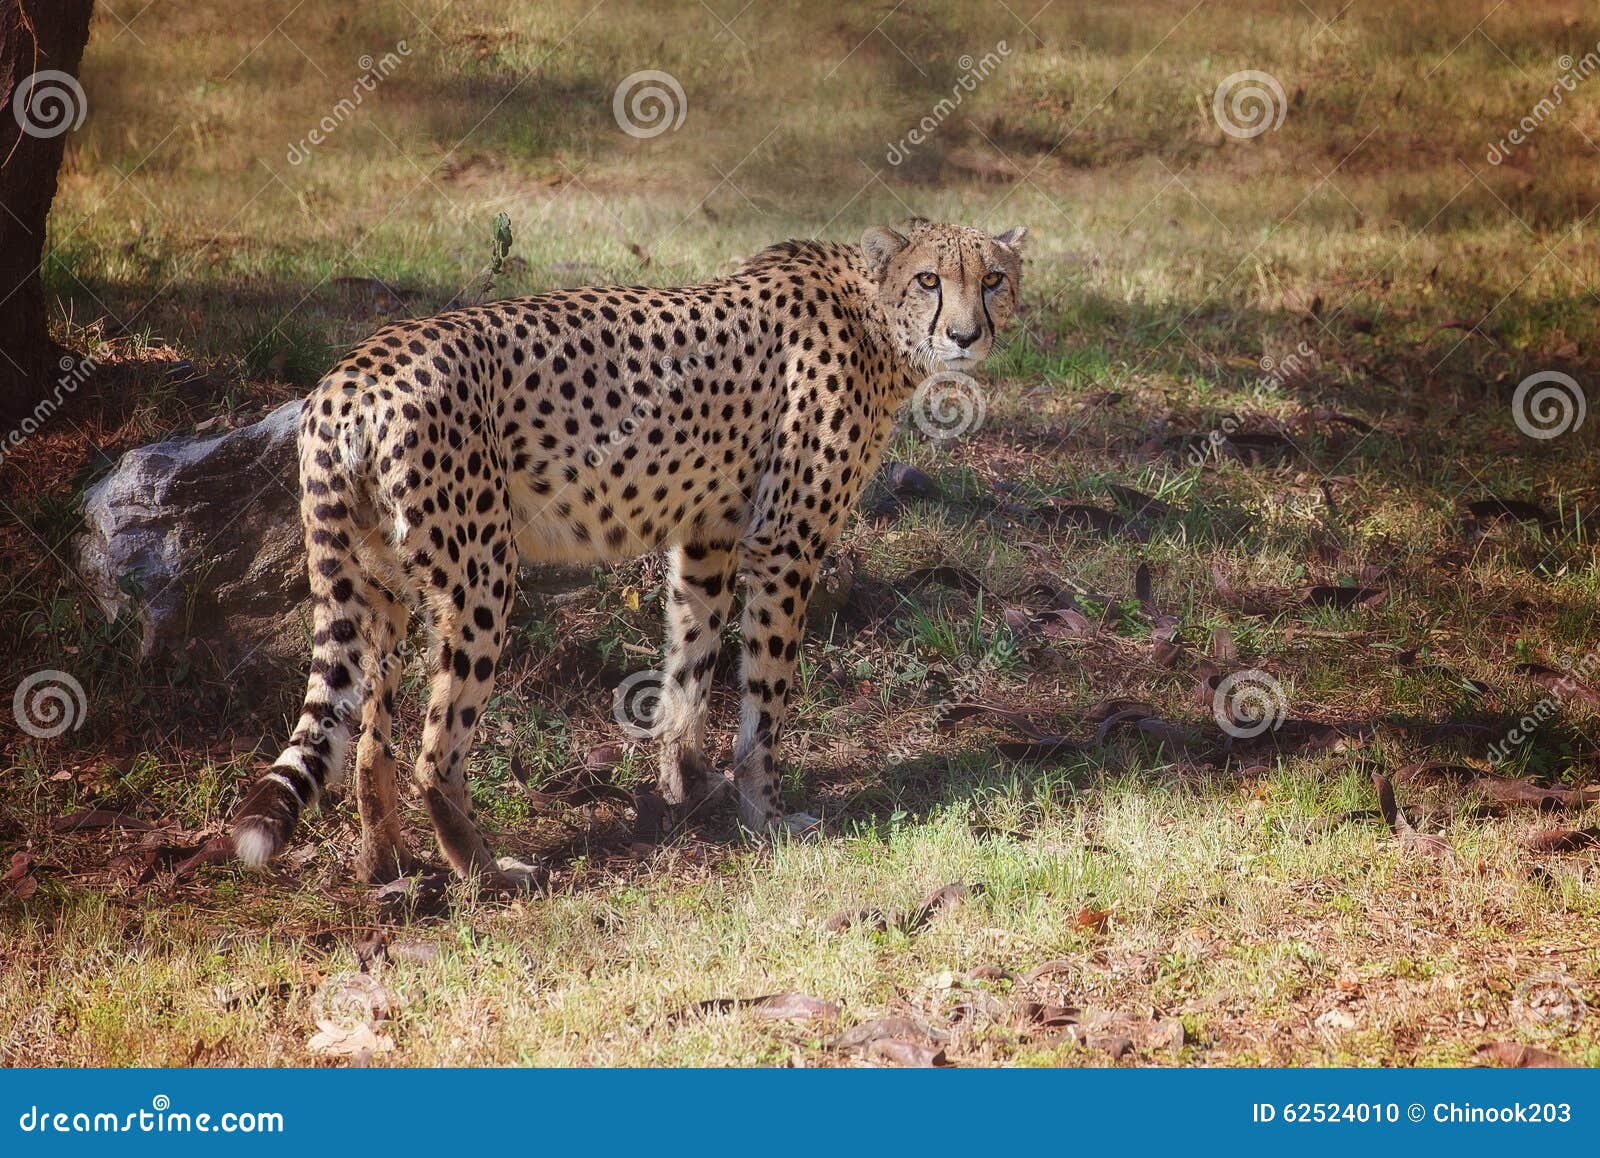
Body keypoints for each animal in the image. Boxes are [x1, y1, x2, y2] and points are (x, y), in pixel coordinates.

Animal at [229, 217, 1027, 890]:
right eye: (930, 279)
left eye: (992, 278)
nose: (965, 336)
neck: (875, 316)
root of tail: (346, 378)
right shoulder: (786, 544)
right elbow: (764, 696)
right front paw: (765, 814)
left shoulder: (707, 535)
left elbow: (690, 663)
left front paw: (689, 782)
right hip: (480, 577)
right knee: (436, 749)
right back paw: (484, 869)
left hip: (381, 584)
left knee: (369, 738)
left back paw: (386, 863)